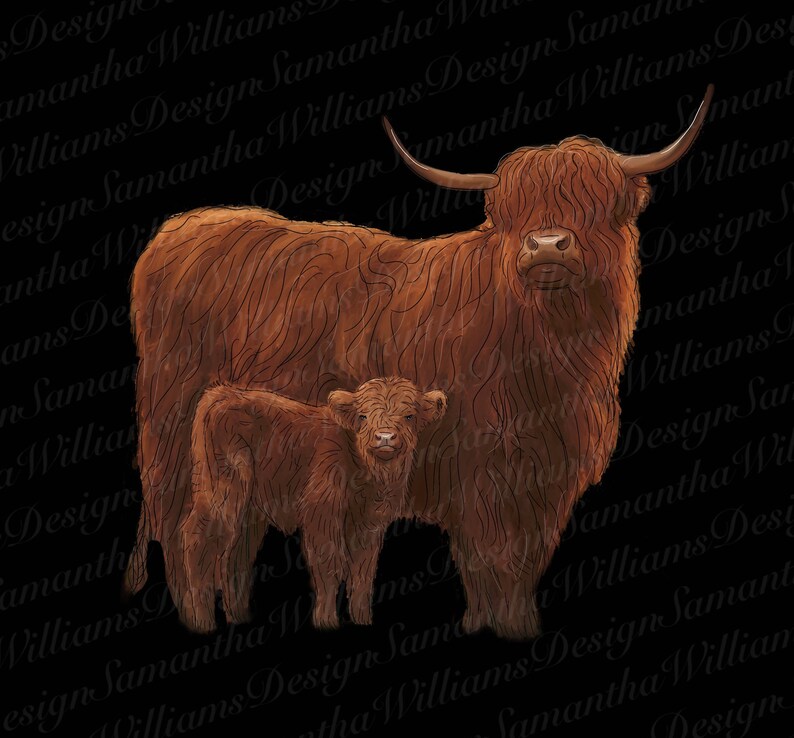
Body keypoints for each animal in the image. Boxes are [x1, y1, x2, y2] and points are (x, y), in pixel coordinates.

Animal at [180, 377, 447, 633]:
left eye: (409, 415)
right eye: (363, 416)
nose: (385, 437)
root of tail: (223, 393)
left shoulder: (369, 524)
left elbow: (363, 572)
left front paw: (362, 620)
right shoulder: (321, 513)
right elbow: (329, 565)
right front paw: (326, 622)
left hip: (249, 511)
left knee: (235, 556)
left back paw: (239, 618)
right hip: (223, 490)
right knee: (198, 538)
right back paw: (203, 622)